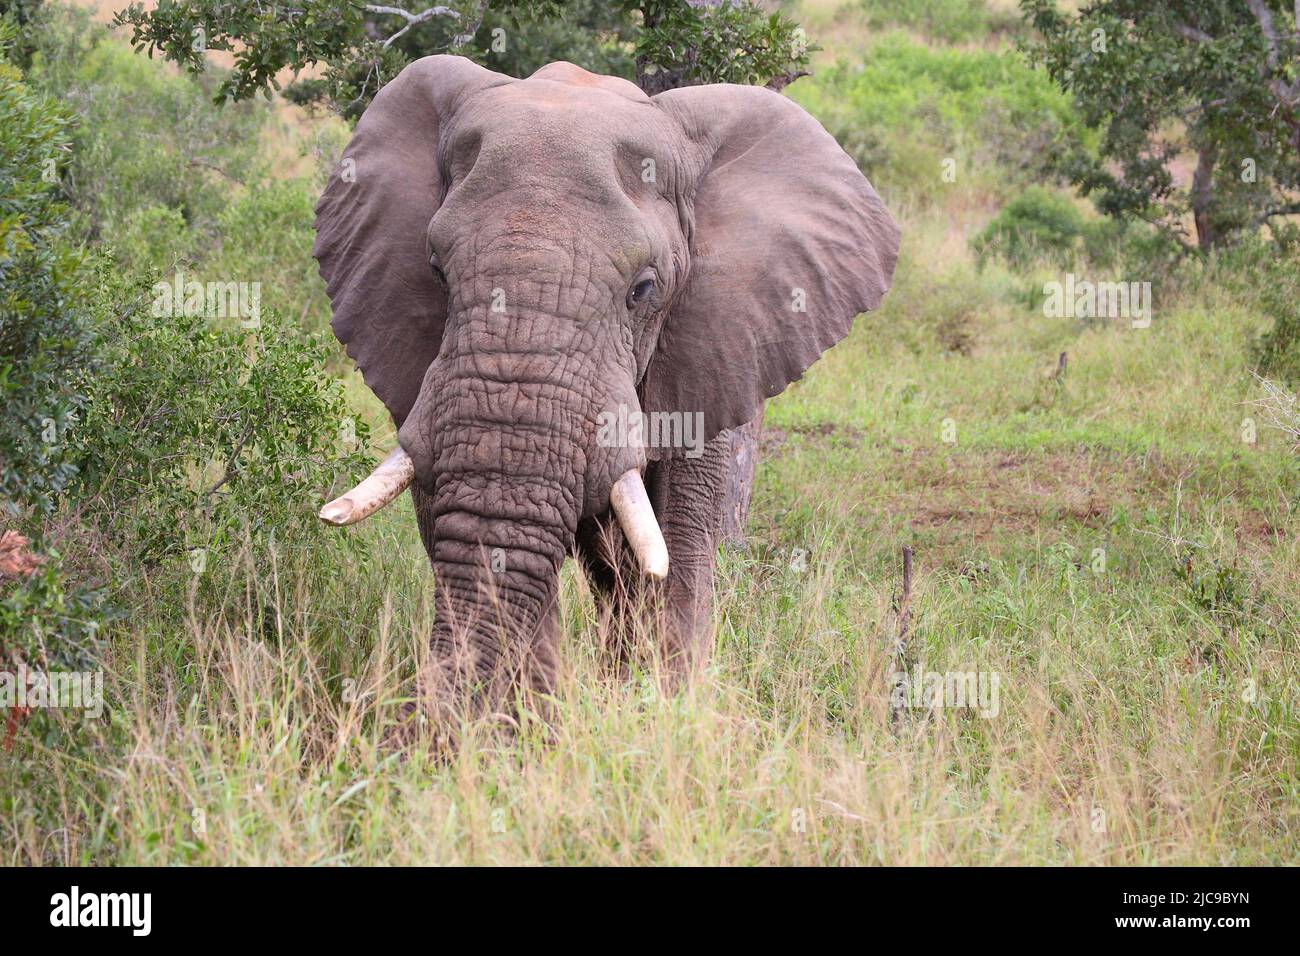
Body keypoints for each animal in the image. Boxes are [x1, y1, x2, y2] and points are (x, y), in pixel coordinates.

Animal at [313, 55, 899, 736]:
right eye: (435, 270)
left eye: (643, 289)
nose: (411, 734)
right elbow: (449, 518)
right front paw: (529, 731)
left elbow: (675, 542)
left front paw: (665, 720)